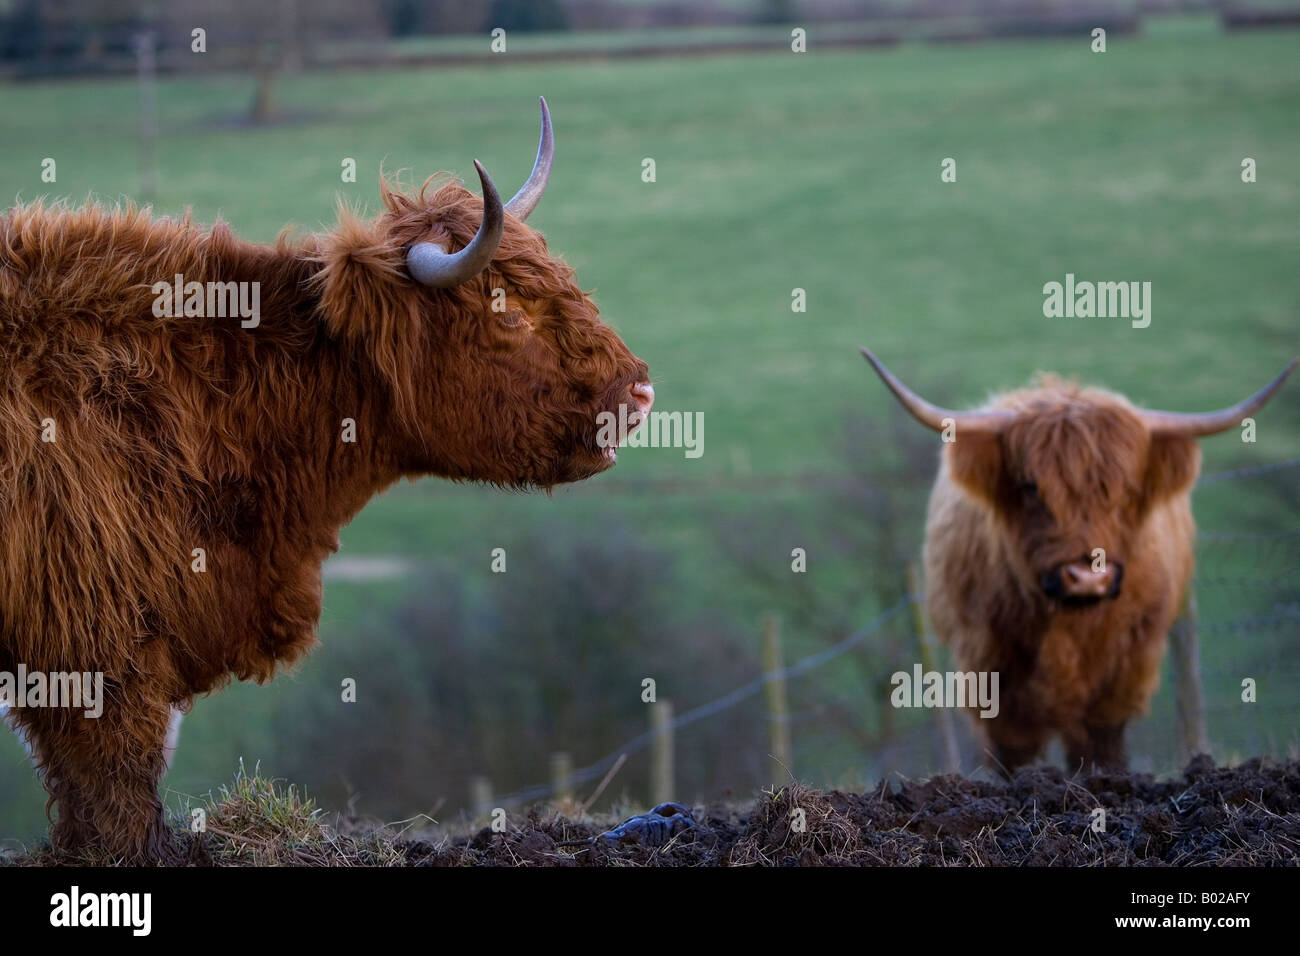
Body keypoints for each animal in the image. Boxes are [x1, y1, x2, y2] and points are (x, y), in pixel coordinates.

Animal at [862, 349, 1296, 773]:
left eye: (1128, 489)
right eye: (1030, 487)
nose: (1087, 577)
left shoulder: (1129, 663)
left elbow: (1099, 742)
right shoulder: (987, 661)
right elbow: (1013, 747)